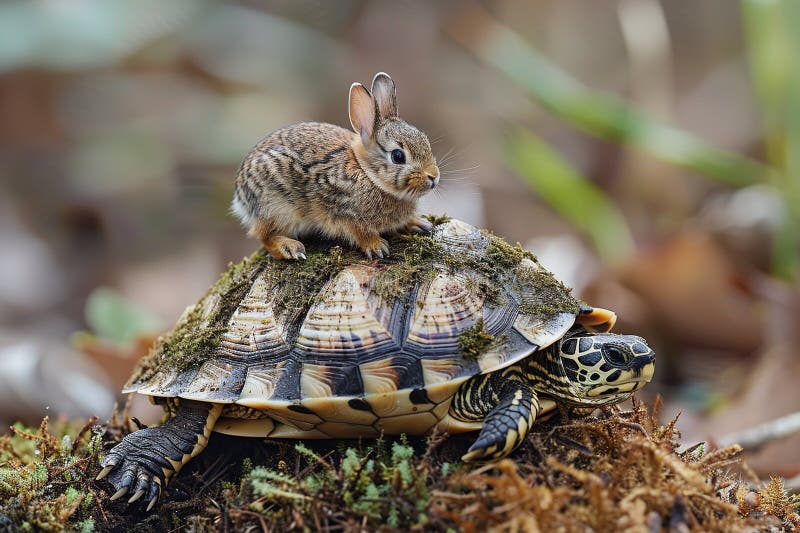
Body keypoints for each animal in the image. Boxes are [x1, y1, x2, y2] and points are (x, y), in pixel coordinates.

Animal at [231, 72, 440, 260]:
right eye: (398, 156)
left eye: (425, 139)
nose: (433, 177)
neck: (367, 173)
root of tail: (240, 196)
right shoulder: (345, 213)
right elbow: (360, 232)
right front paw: (377, 247)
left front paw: (418, 223)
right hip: (277, 207)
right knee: (263, 235)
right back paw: (290, 248)